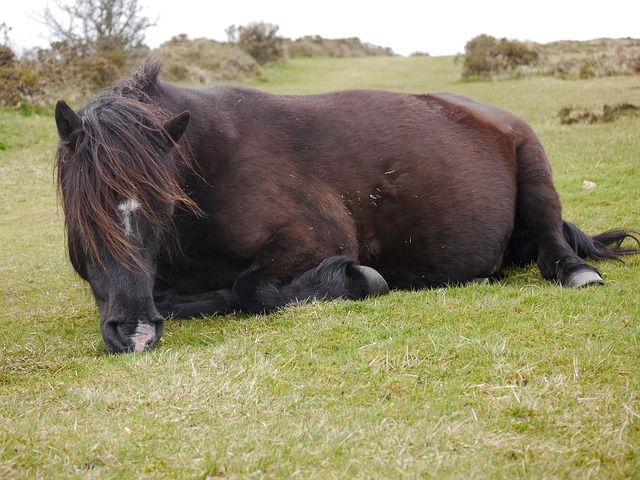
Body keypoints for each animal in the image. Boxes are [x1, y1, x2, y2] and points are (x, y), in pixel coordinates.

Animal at [54, 59, 638, 354]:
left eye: (162, 205)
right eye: (84, 213)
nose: (134, 332)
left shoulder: (316, 235)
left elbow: (249, 287)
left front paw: (354, 279)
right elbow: (185, 296)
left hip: (533, 161)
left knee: (554, 241)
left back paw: (575, 270)